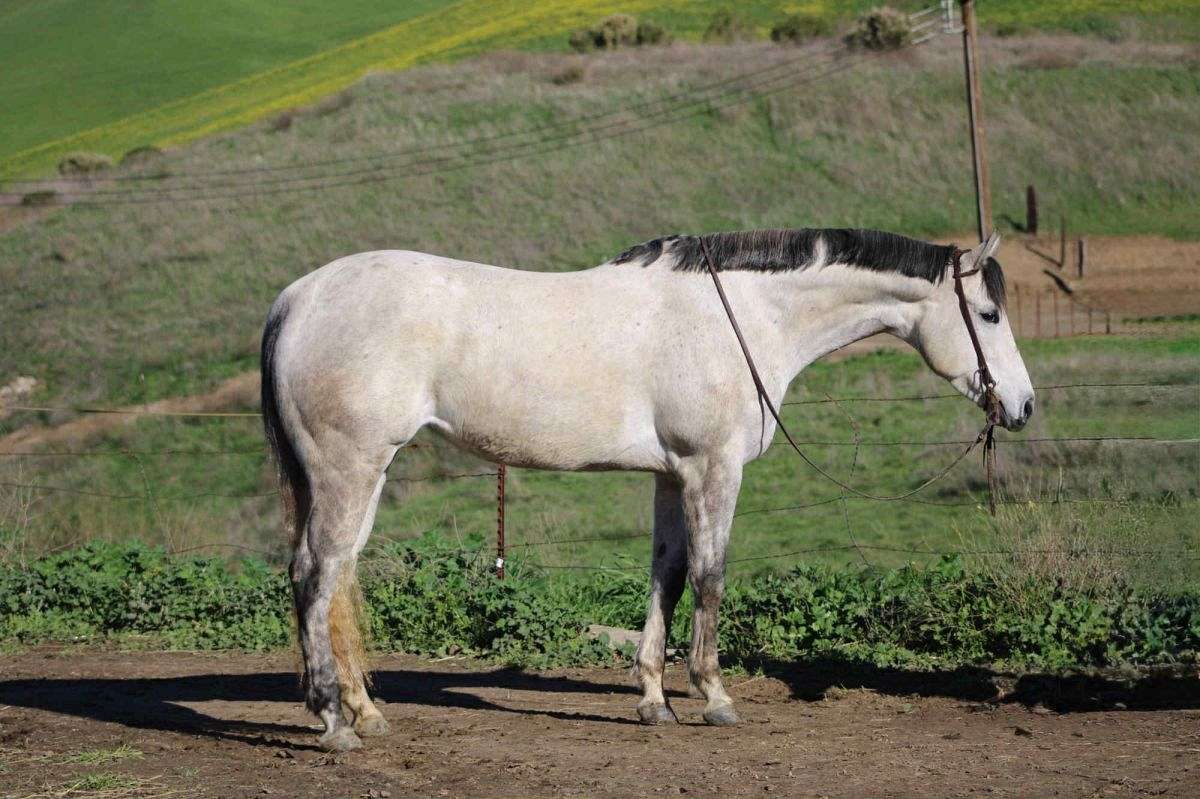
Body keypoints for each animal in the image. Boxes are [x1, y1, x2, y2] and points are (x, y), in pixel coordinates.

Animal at [260, 227, 1034, 751]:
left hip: (361, 476)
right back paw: (331, 720)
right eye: (989, 315)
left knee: (338, 579)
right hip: (349, 469)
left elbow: (667, 574)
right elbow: (711, 576)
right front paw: (714, 696)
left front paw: (655, 699)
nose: (1022, 406)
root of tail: (295, 300)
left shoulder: (671, 473)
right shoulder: (713, 467)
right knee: (314, 576)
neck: (741, 315)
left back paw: (365, 712)